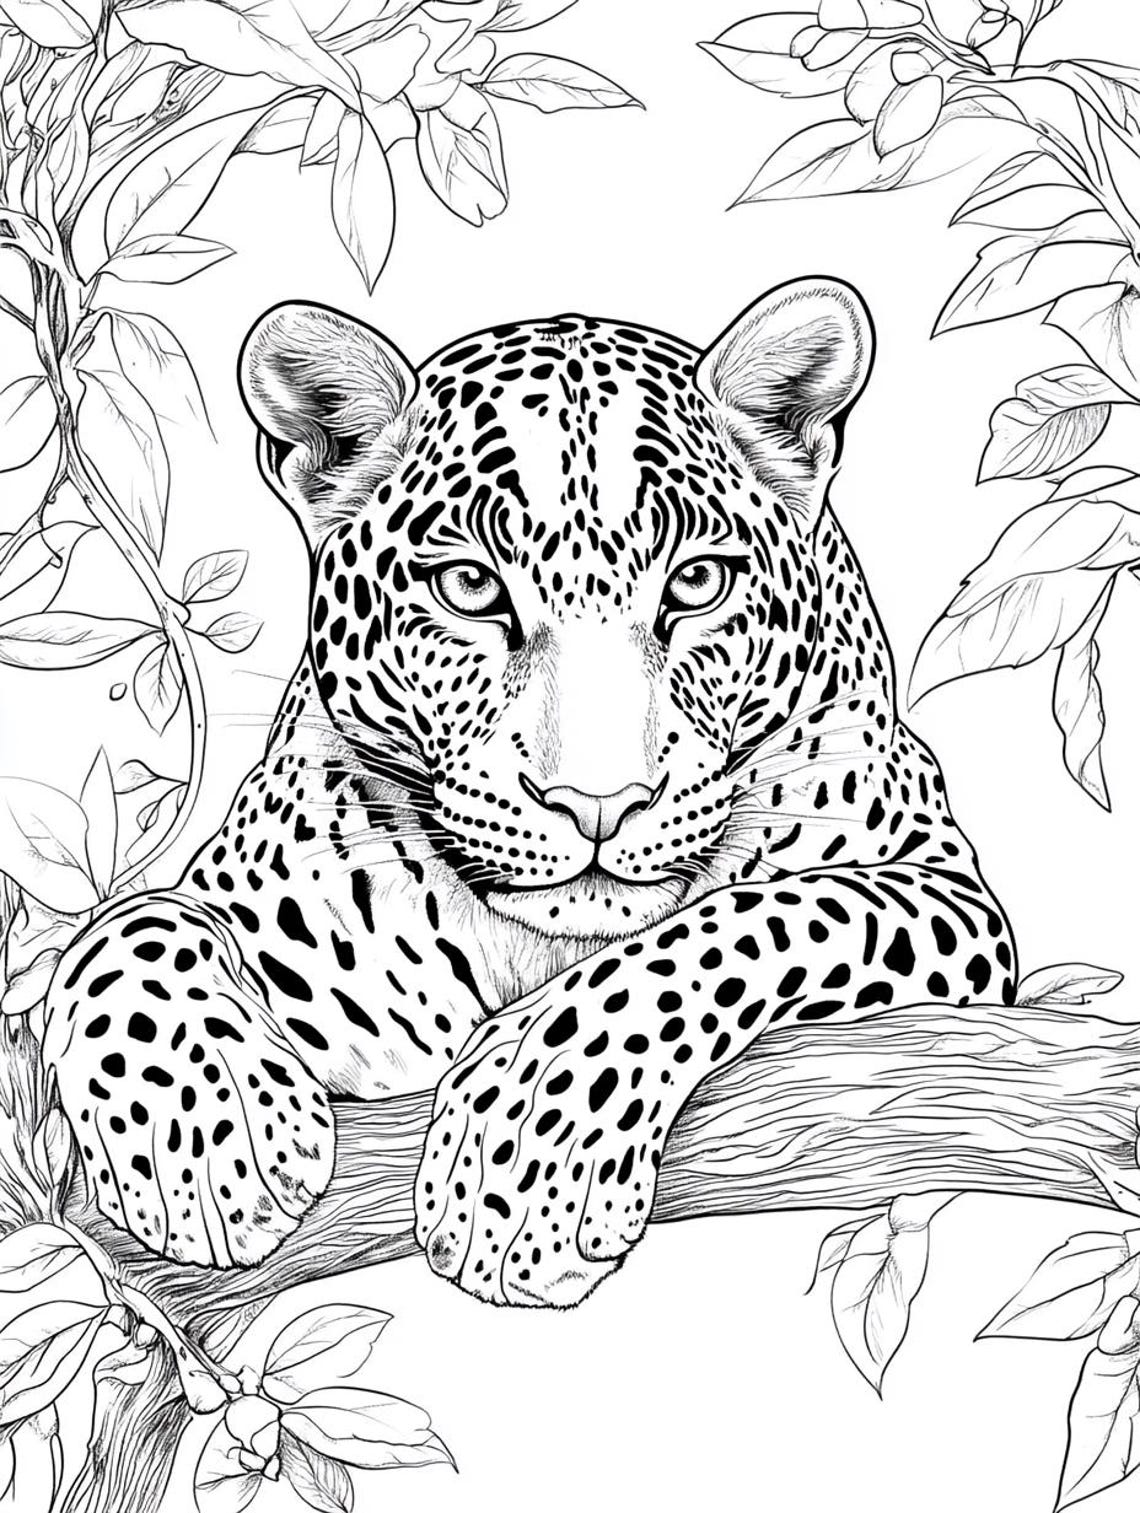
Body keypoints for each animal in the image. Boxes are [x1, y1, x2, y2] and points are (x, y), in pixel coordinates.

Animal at [44, 278, 1017, 1307]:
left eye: (697, 582)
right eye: (471, 586)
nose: (598, 802)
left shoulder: (945, 892)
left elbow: (757, 920)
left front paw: (530, 1146)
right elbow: (128, 927)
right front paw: (198, 1129)